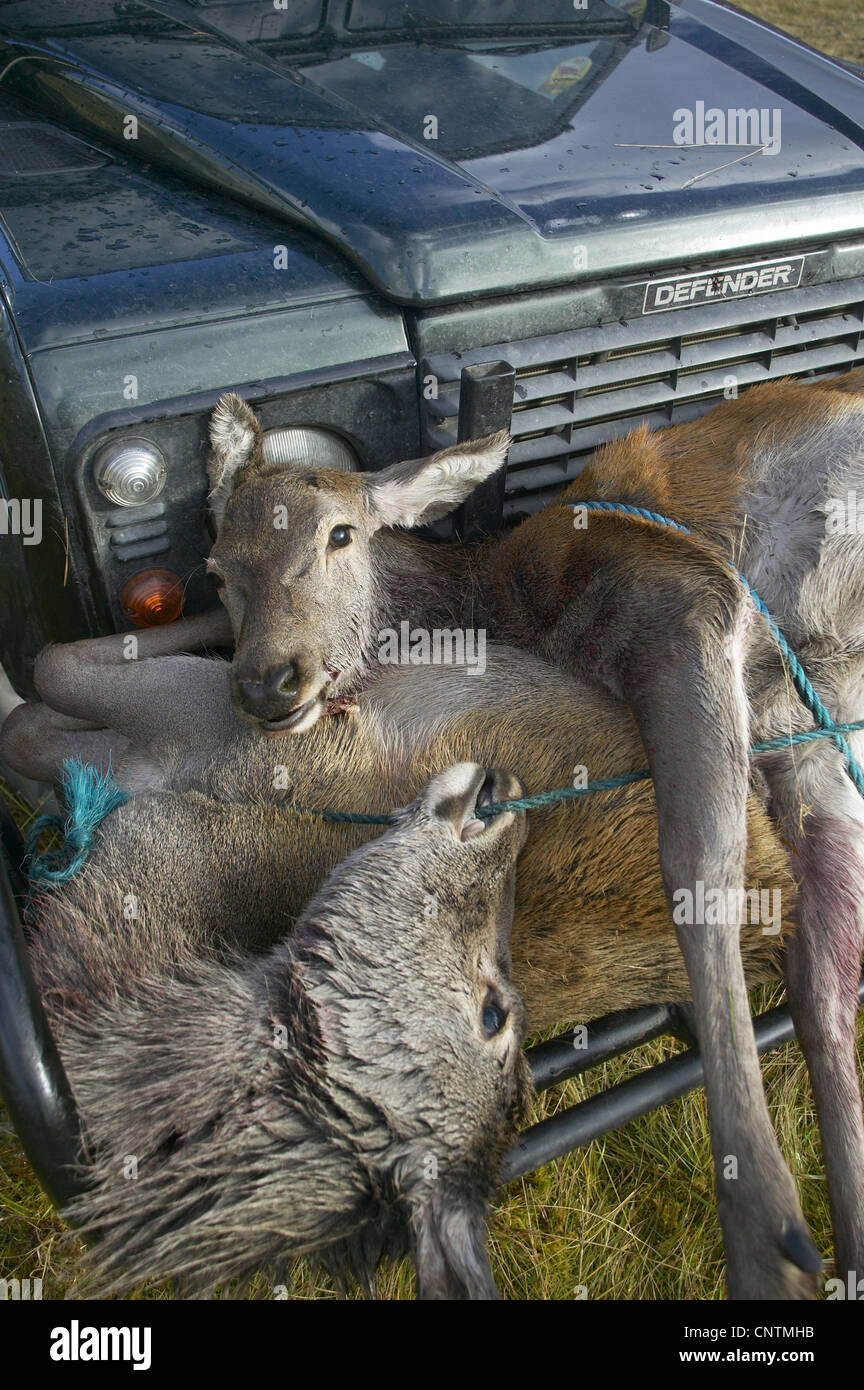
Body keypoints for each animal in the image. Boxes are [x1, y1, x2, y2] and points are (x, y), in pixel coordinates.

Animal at [193, 374, 864, 1299]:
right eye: (218, 569)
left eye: (341, 533)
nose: (267, 682)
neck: (491, 598)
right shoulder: (802, 724)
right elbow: (823, 972)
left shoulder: (681, 592)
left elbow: (701, 871)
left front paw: (767, 1241)